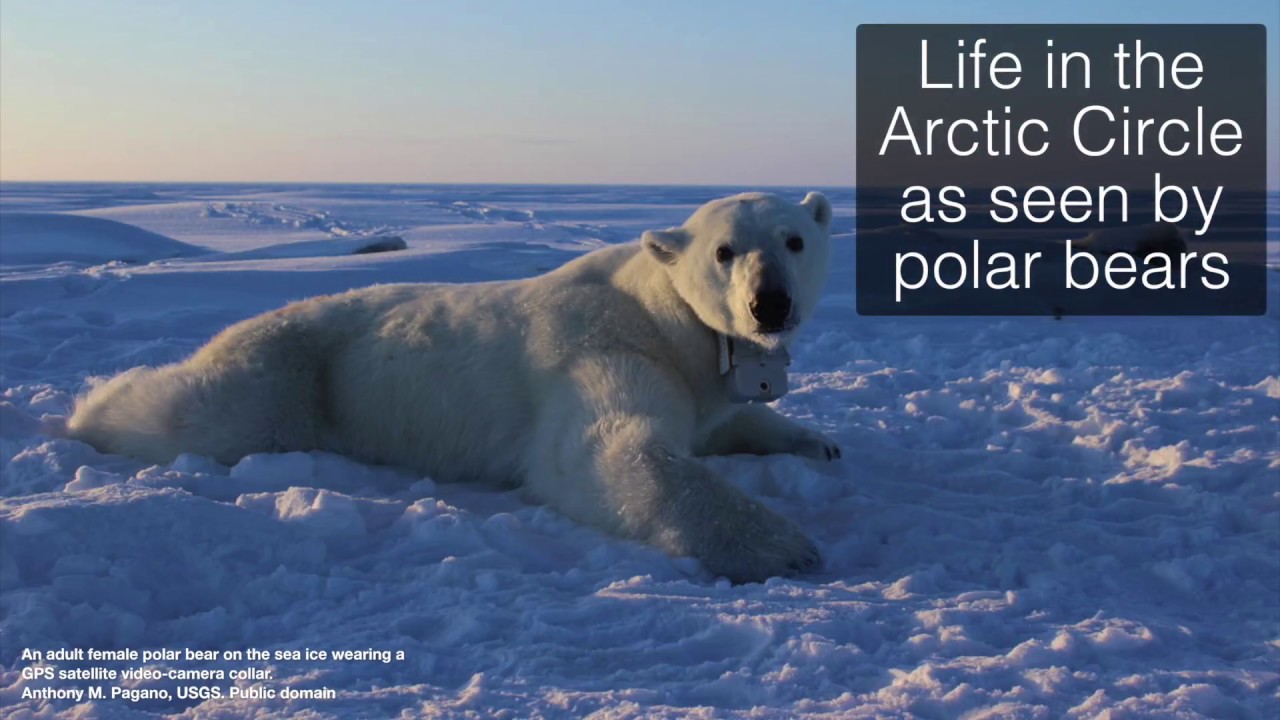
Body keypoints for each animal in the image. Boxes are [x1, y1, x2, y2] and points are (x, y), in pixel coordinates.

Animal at [68, 191, 840, 583]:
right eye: (724, 250)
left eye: (794, 239)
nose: (770, 304)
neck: (661, 314)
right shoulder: (605, 350)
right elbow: (606, 451)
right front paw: (787, 546)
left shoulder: (696, 376)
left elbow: (725, 420)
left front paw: (818, 443)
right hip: (291, 376)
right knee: (196, 413)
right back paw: (89, 407)